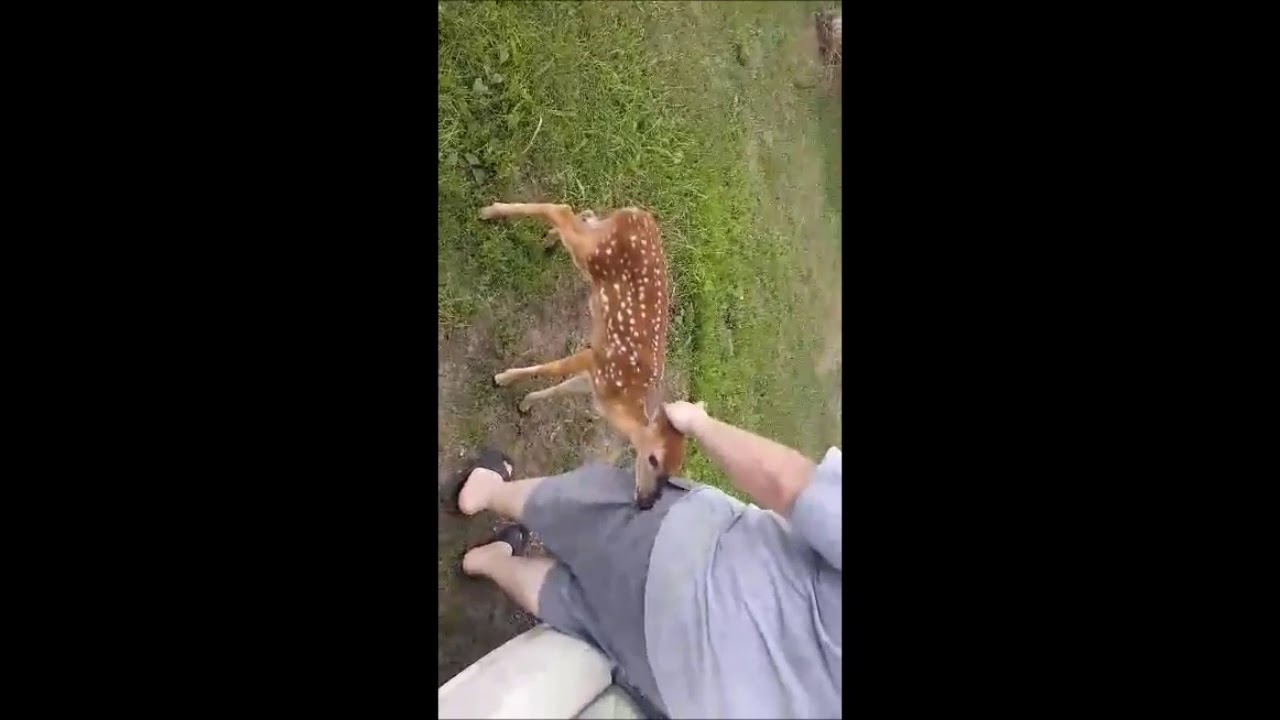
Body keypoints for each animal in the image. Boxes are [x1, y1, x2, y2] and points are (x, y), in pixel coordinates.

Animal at [478, 201, 685, 510]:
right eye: (653, 459)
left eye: (672, 475)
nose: (647, 503)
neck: (621, 405)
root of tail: (638, 213)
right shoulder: (596, 359)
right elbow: (552, 370)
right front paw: (503, 379)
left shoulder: (594, 381)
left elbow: (561, 388)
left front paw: (526, 404)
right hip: (592, 253)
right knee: (561, 210)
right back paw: (491, 213)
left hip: (594, 246)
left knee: (582, 215)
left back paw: (547, 241)